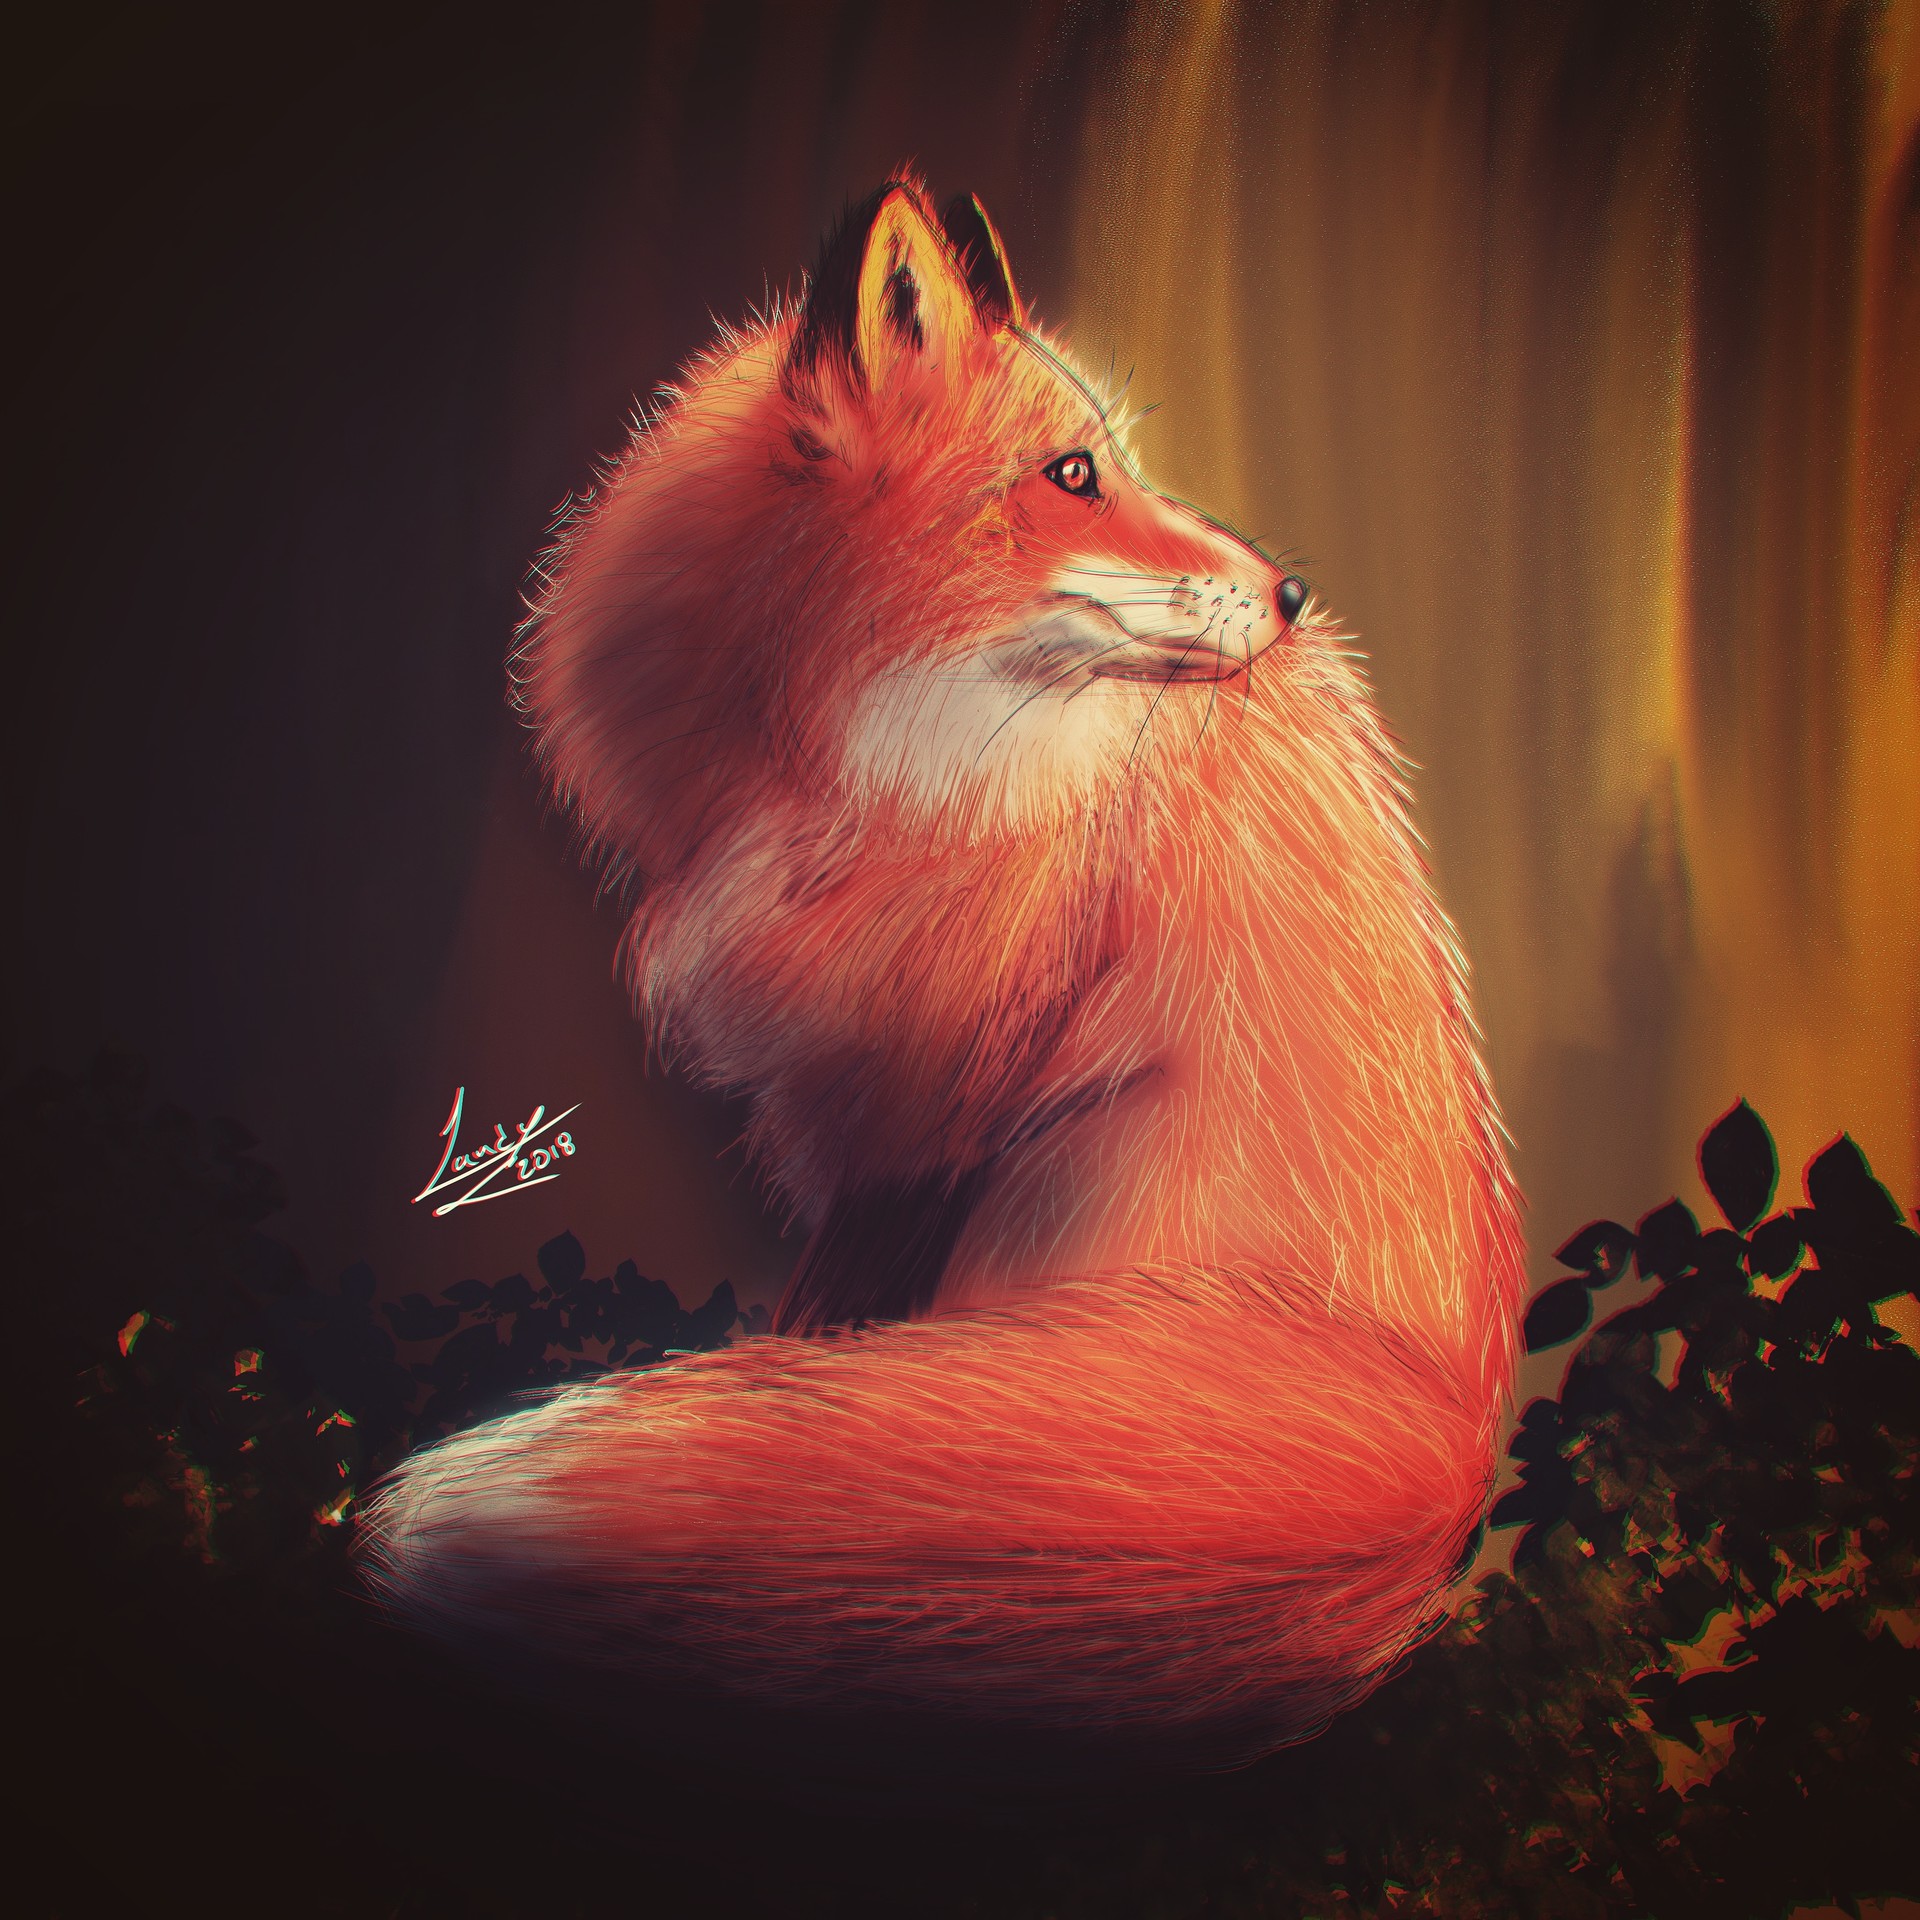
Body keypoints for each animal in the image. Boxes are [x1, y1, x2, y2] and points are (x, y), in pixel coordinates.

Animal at [363, 175, 1526, 1777]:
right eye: (1074, 473)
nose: (1294, 592)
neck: (847, 780)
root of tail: (1452, 1440)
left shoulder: (929, 1109)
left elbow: (826, 1323)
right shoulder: (862, 1109)